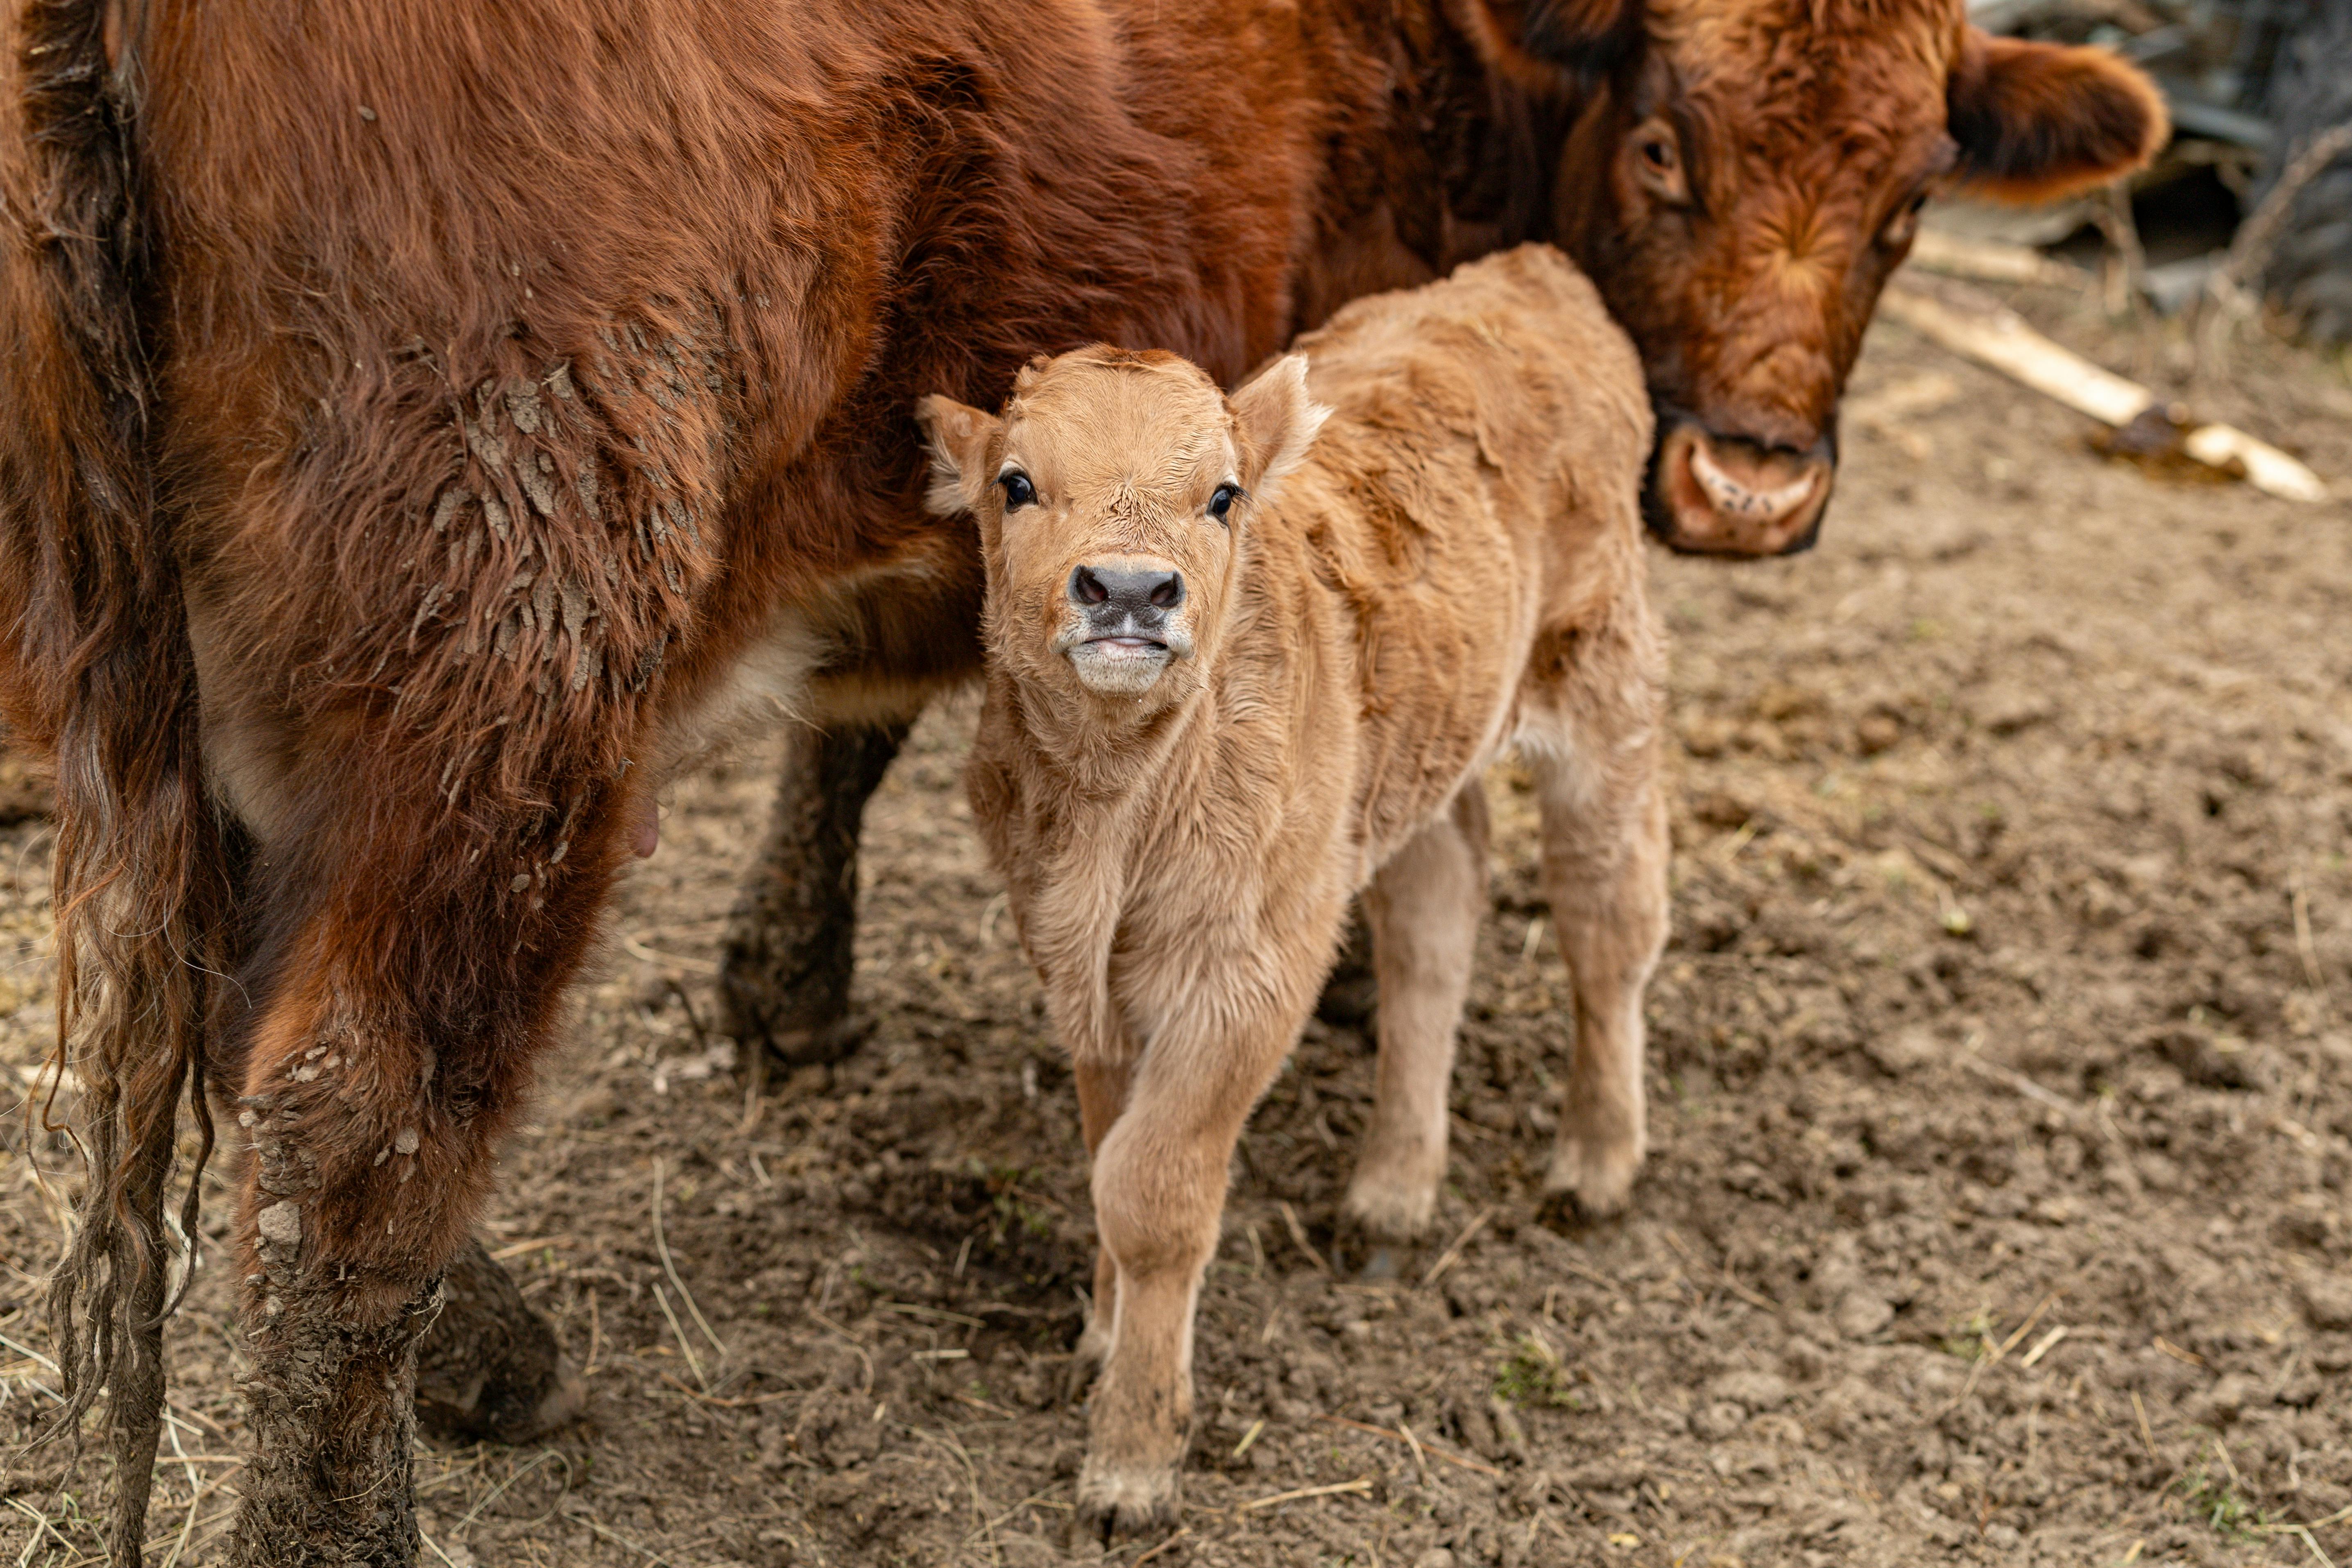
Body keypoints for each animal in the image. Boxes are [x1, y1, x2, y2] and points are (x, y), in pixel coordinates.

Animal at [931, 244, 1663, 1537]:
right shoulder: (1078, 973)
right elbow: (1104, 1154)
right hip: (1408, 771)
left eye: (1222, 495)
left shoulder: (1247, 974)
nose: (1129, 589)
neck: (1117, 808)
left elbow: (1152, 1189)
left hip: (1600, 686)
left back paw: (1593, 1160)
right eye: (1017, 483)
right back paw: (1390, 1188)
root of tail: (1528, 275)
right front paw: (1101, 1336)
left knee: (1607, 917)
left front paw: (1131, 1456)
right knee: (1435, 918)